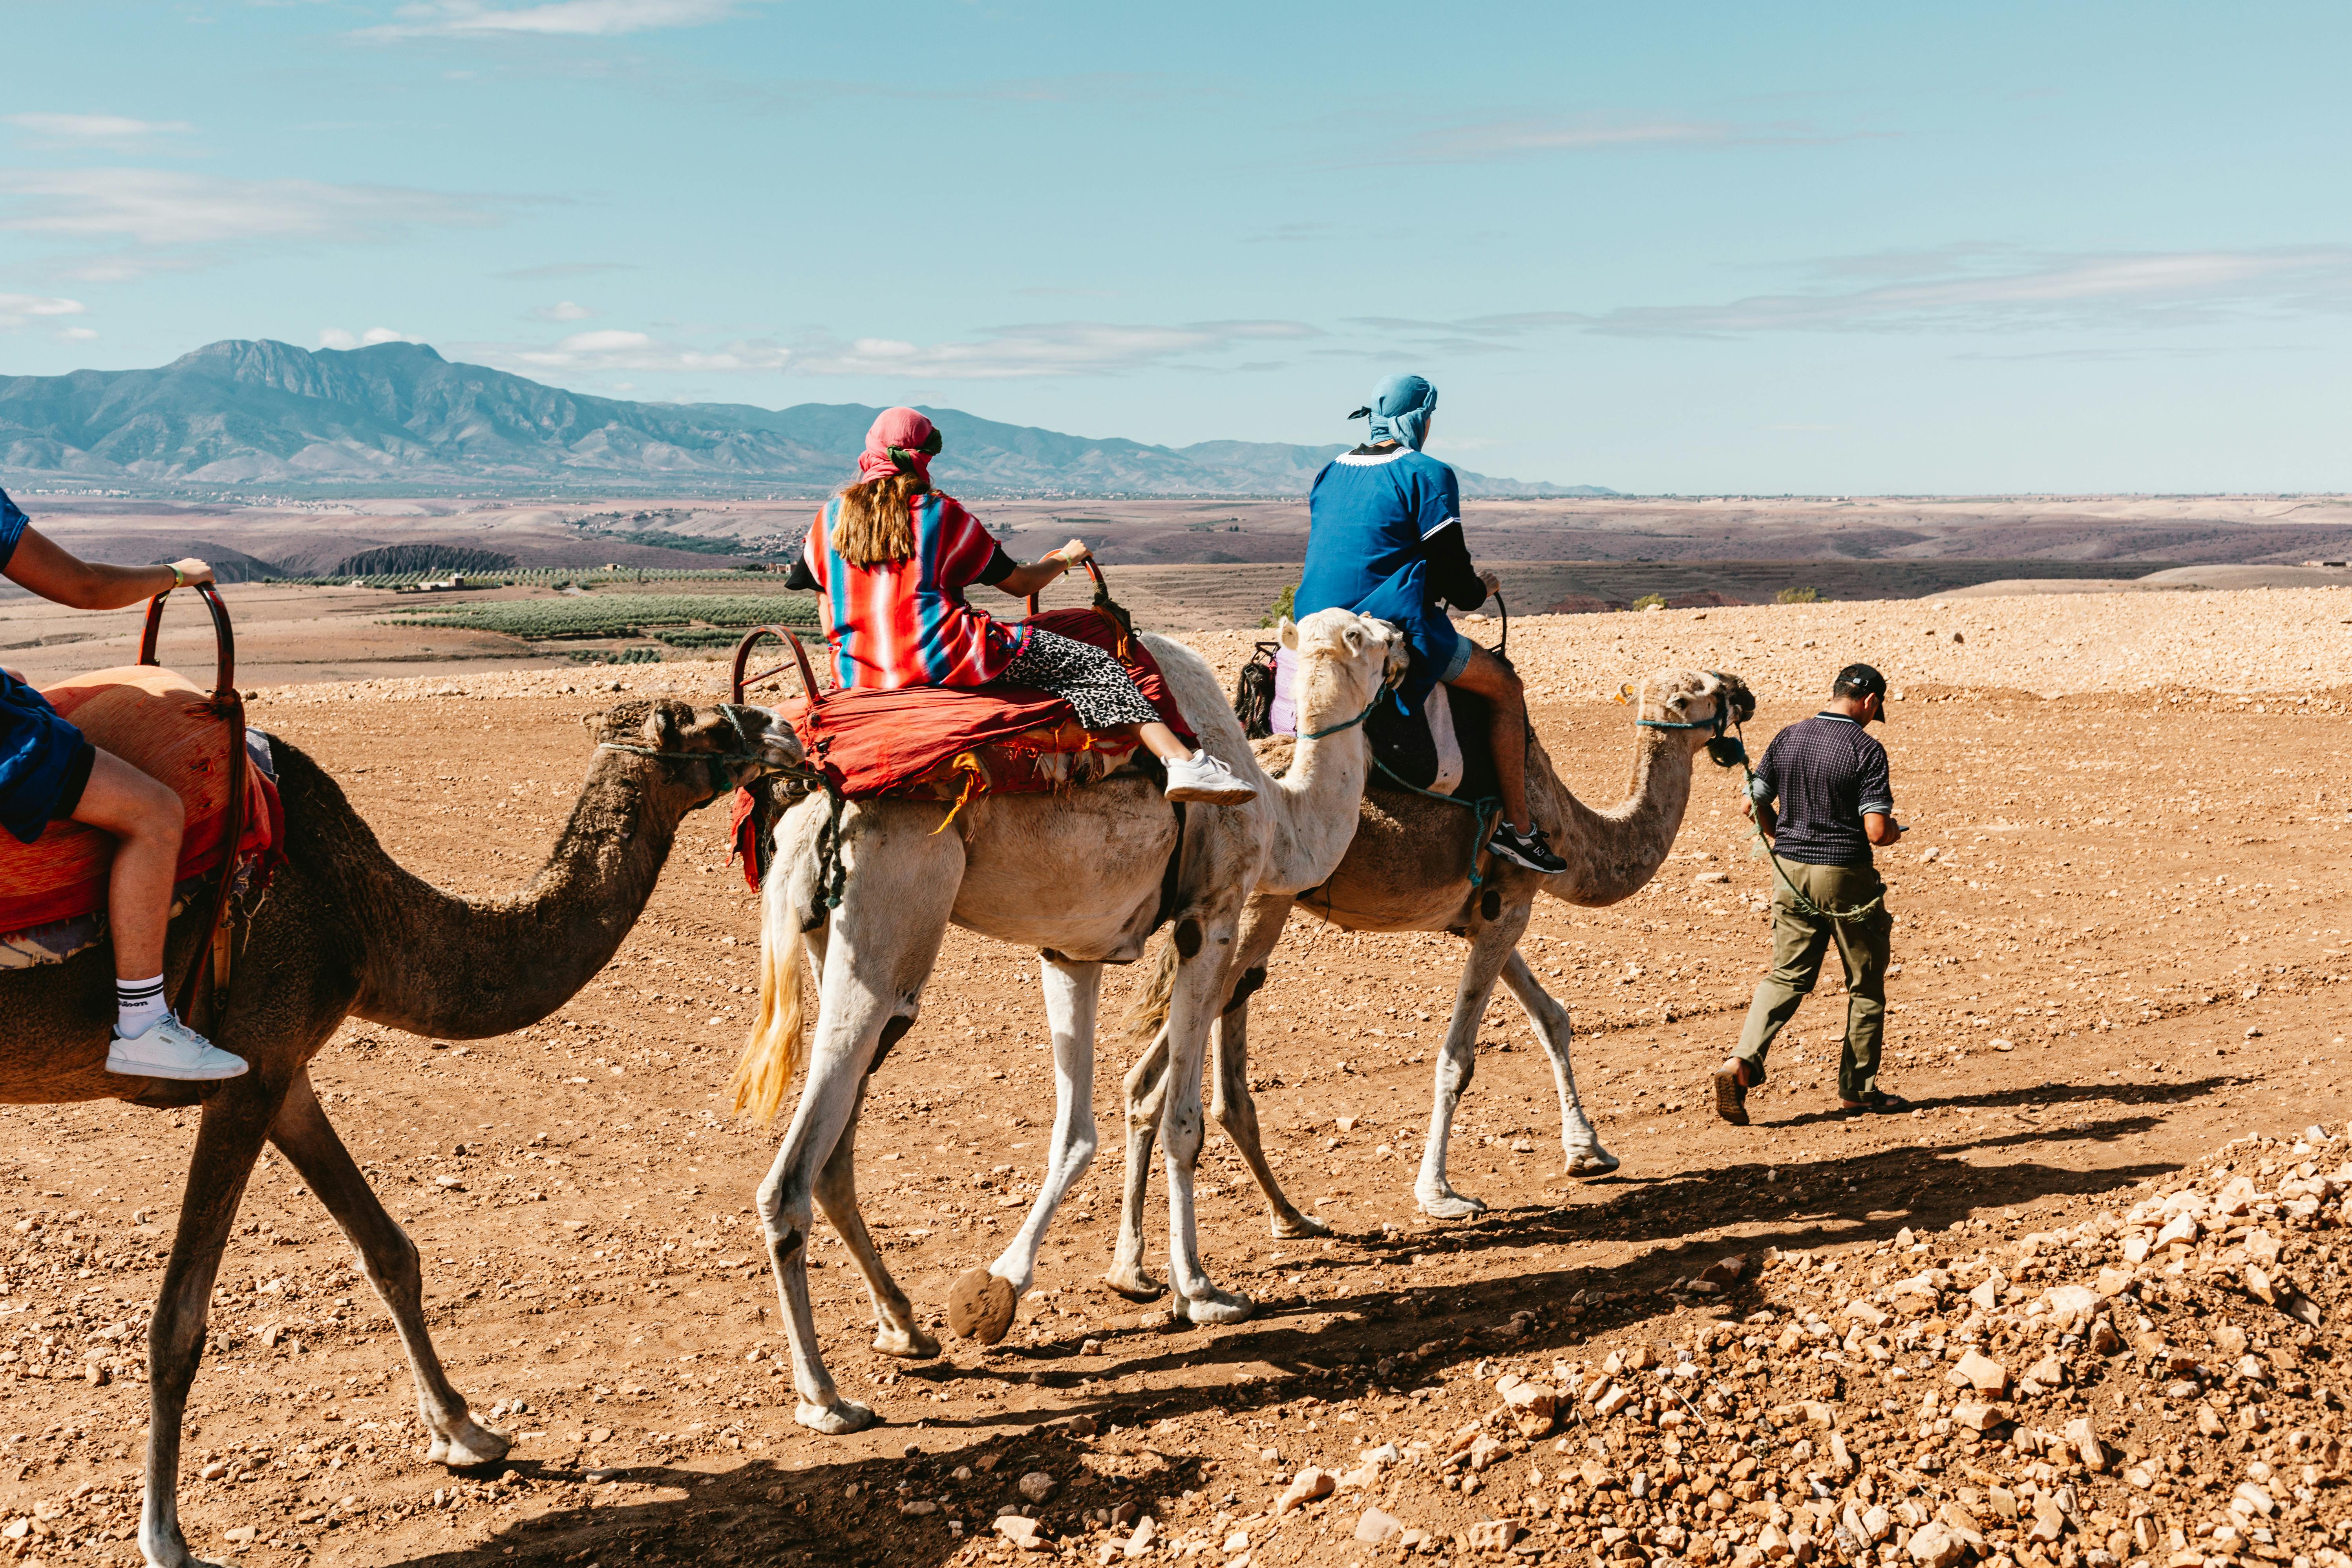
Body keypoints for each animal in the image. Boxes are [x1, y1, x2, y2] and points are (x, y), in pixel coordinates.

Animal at [0, 696, 802, 1568]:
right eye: (709, 724)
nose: (789, 732)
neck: (359, 912)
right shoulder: (249, 1063)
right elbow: (177, 1318)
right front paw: (165, 1538)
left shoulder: (282, 1068)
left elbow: (388, 1249)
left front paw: (466, 1429)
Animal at [726, 609, 1404, 1435]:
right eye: (1364, 636)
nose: (1405, 637)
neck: (1279, 817)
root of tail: (809, 800)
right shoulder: (1210, 916)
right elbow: (1182, 1122)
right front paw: (1202, 1290)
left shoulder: (1072, 950)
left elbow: (1075, 1131)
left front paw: (1012, 1285)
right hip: (888, 930)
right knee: (788, 1179)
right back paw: (824, 1395)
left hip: (838, 952)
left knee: (834, 1157)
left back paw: (906, 1328)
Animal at [1106, 667, 1753, 1294]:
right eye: (1703, 691)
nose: (1743, 692)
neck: (1566, 826)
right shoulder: (1511, 901)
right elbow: (1458, 1058)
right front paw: (1440, 1194)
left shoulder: (1480, 916)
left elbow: (1552, 1018)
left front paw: (1588, 1151)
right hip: (1253, 906)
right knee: (1154, 1077)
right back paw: (1151, 1269)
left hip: (1258, 910)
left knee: (1220, 1073)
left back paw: (1253, 1230)